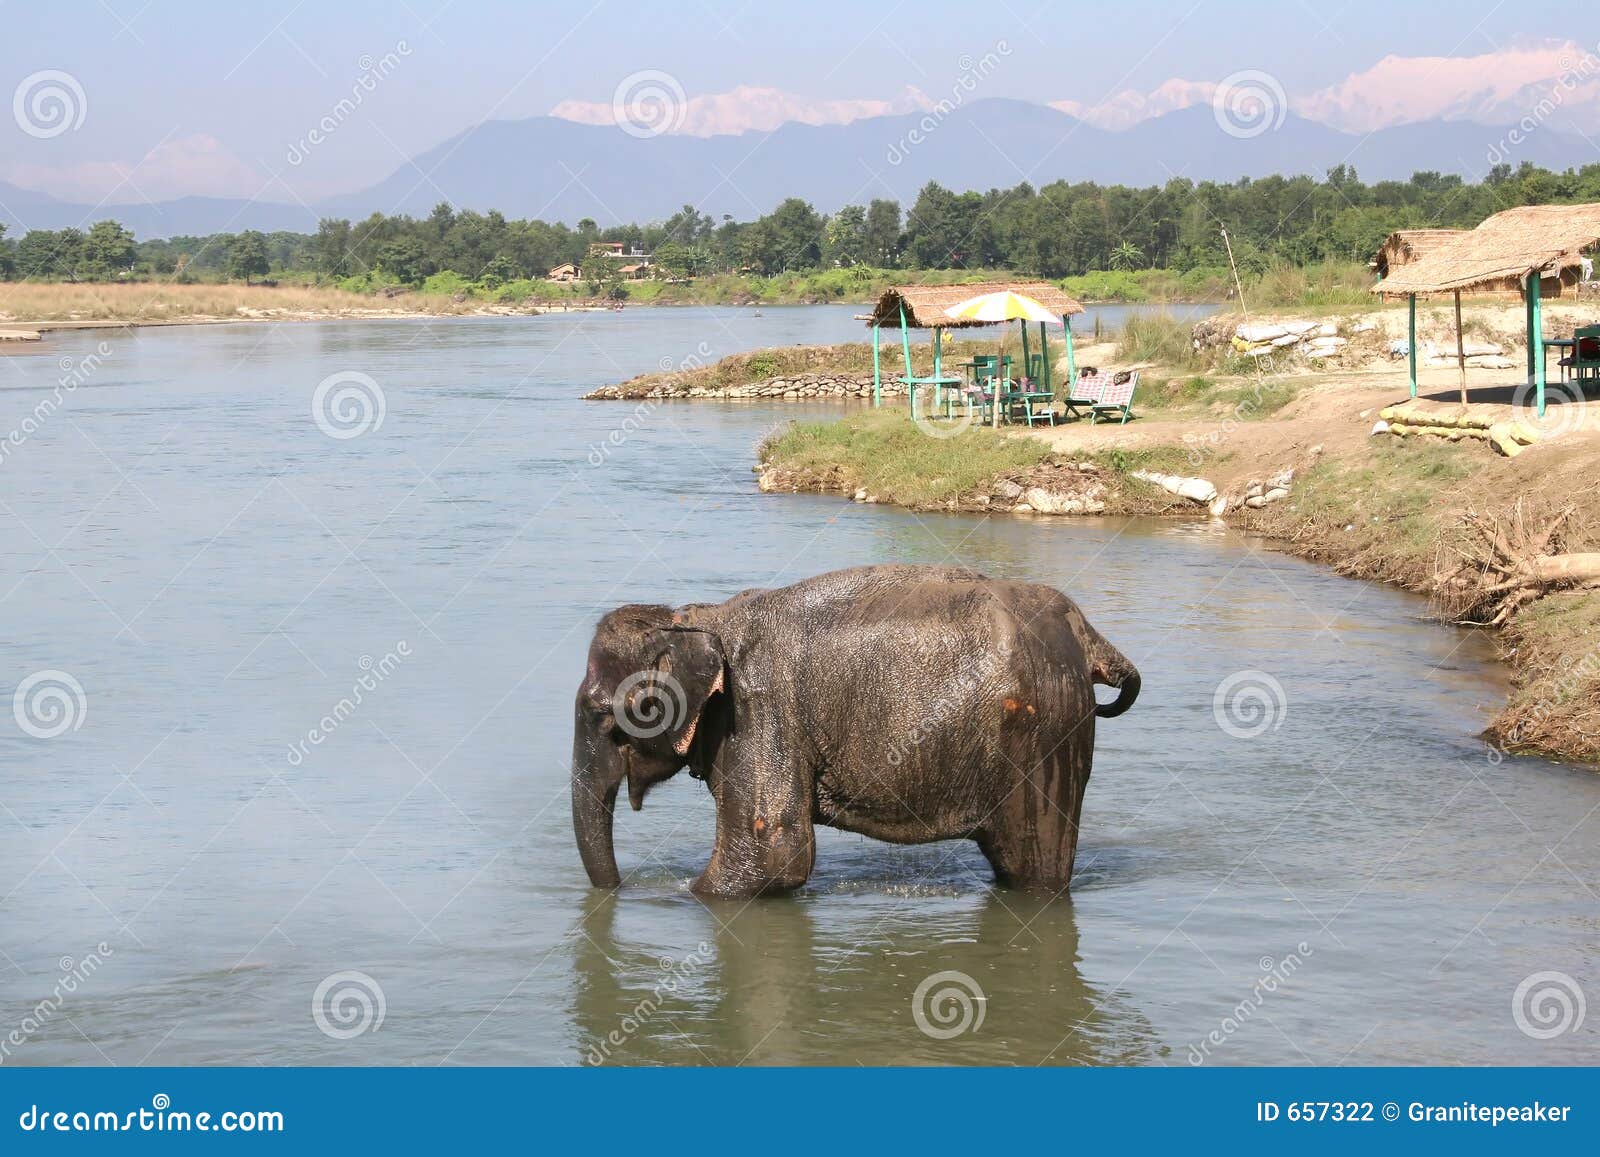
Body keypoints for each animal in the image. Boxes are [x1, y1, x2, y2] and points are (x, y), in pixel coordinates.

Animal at [571, 564, 1140, 898]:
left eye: (603, 715)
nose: (620, 890)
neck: (698, 619)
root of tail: (1087, 634)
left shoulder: (758, 712)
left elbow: (773, 853)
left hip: (1046, 736)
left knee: (1032, 866)